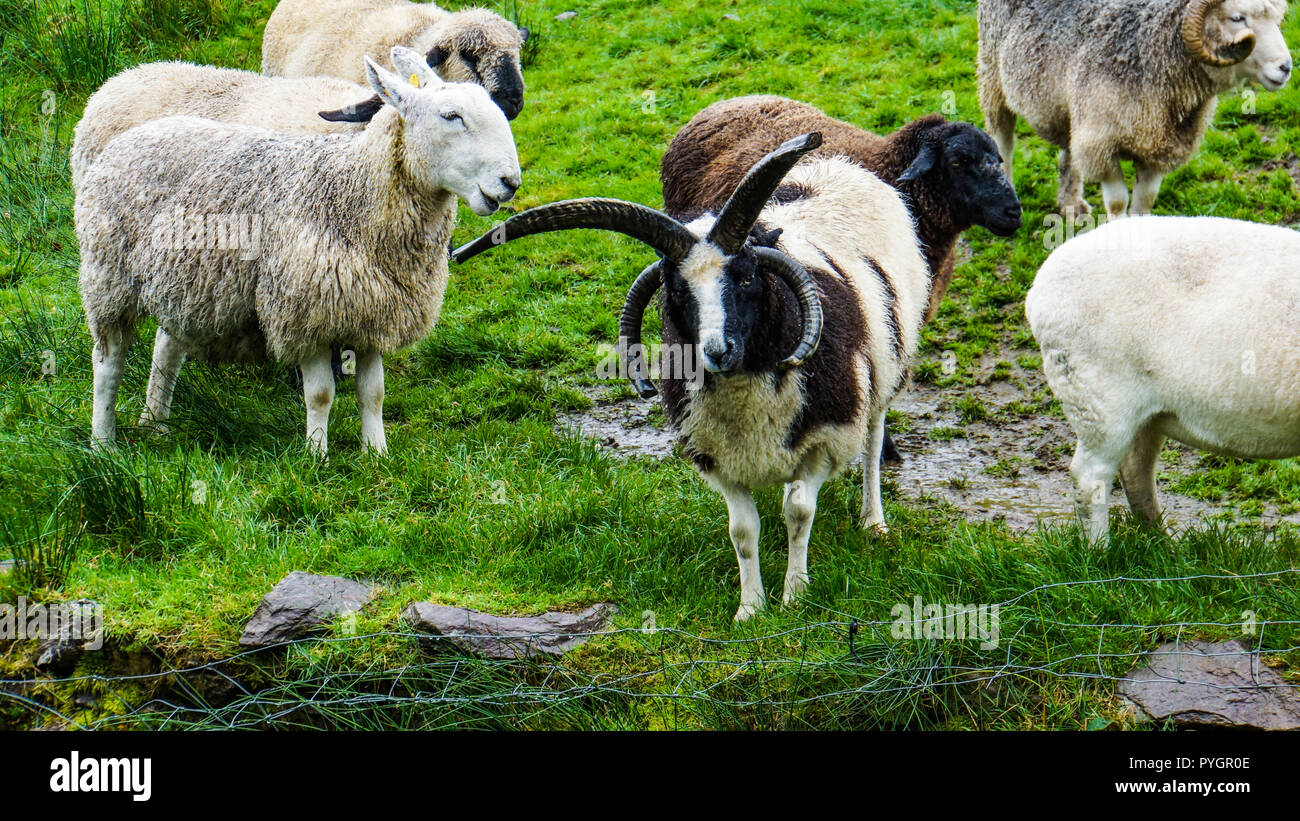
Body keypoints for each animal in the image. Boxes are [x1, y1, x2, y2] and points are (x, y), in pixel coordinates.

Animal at [451, 134, 931, 621]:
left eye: (746, 277)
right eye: (678, 288)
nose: (718, 351)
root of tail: (835, 165)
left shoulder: (822, 440)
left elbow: (797, 513)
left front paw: (795, 596)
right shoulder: (716, 454)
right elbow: (743, 531)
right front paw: (750, 609)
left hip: (885, 372)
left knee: (872, 443)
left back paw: (873, 521)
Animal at [978, 0, 1292, 218]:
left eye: (1277, 19)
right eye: (1237, 18)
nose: (1286, 67)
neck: (1149, 51)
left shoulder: (1159, 146)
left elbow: (1144, 203)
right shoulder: (1101, 146)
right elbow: (1118, 203)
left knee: (1068, 151)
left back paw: (1072, 205)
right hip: (991, 72)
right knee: (1002, 141)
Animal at [1025, 215, 1300, 542]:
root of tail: (1039, 286)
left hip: (1144, 409)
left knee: (1135, 469)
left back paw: (1160, 540)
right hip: (1095, 394)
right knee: (1091, 477)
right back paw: (1099, 549)